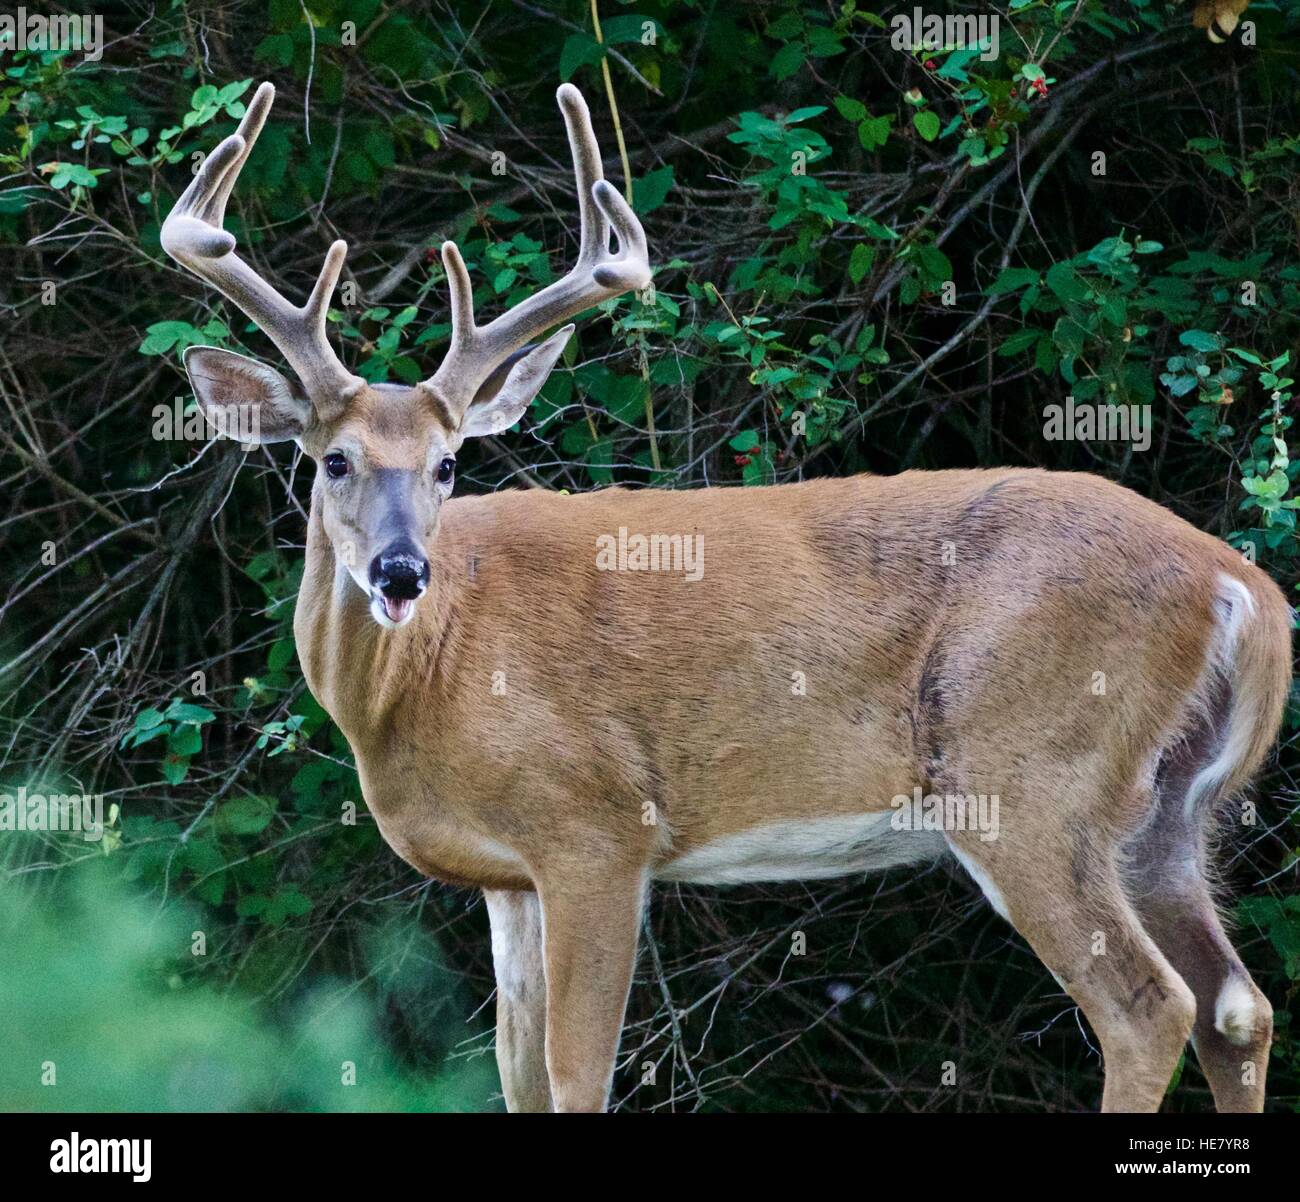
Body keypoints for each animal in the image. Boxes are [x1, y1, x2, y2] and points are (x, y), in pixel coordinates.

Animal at [160, 80, 1291, 1114]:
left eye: (446, 466)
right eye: (333, 460)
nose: (401, 572)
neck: (426, 677)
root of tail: (1240, 583)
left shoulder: (597, 826)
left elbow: (575, 1074)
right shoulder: (506, 875)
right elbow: (516, 1076)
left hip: (1033, 772)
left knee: (1149, 1007)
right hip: (1166, 808)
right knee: (1236, 1004)